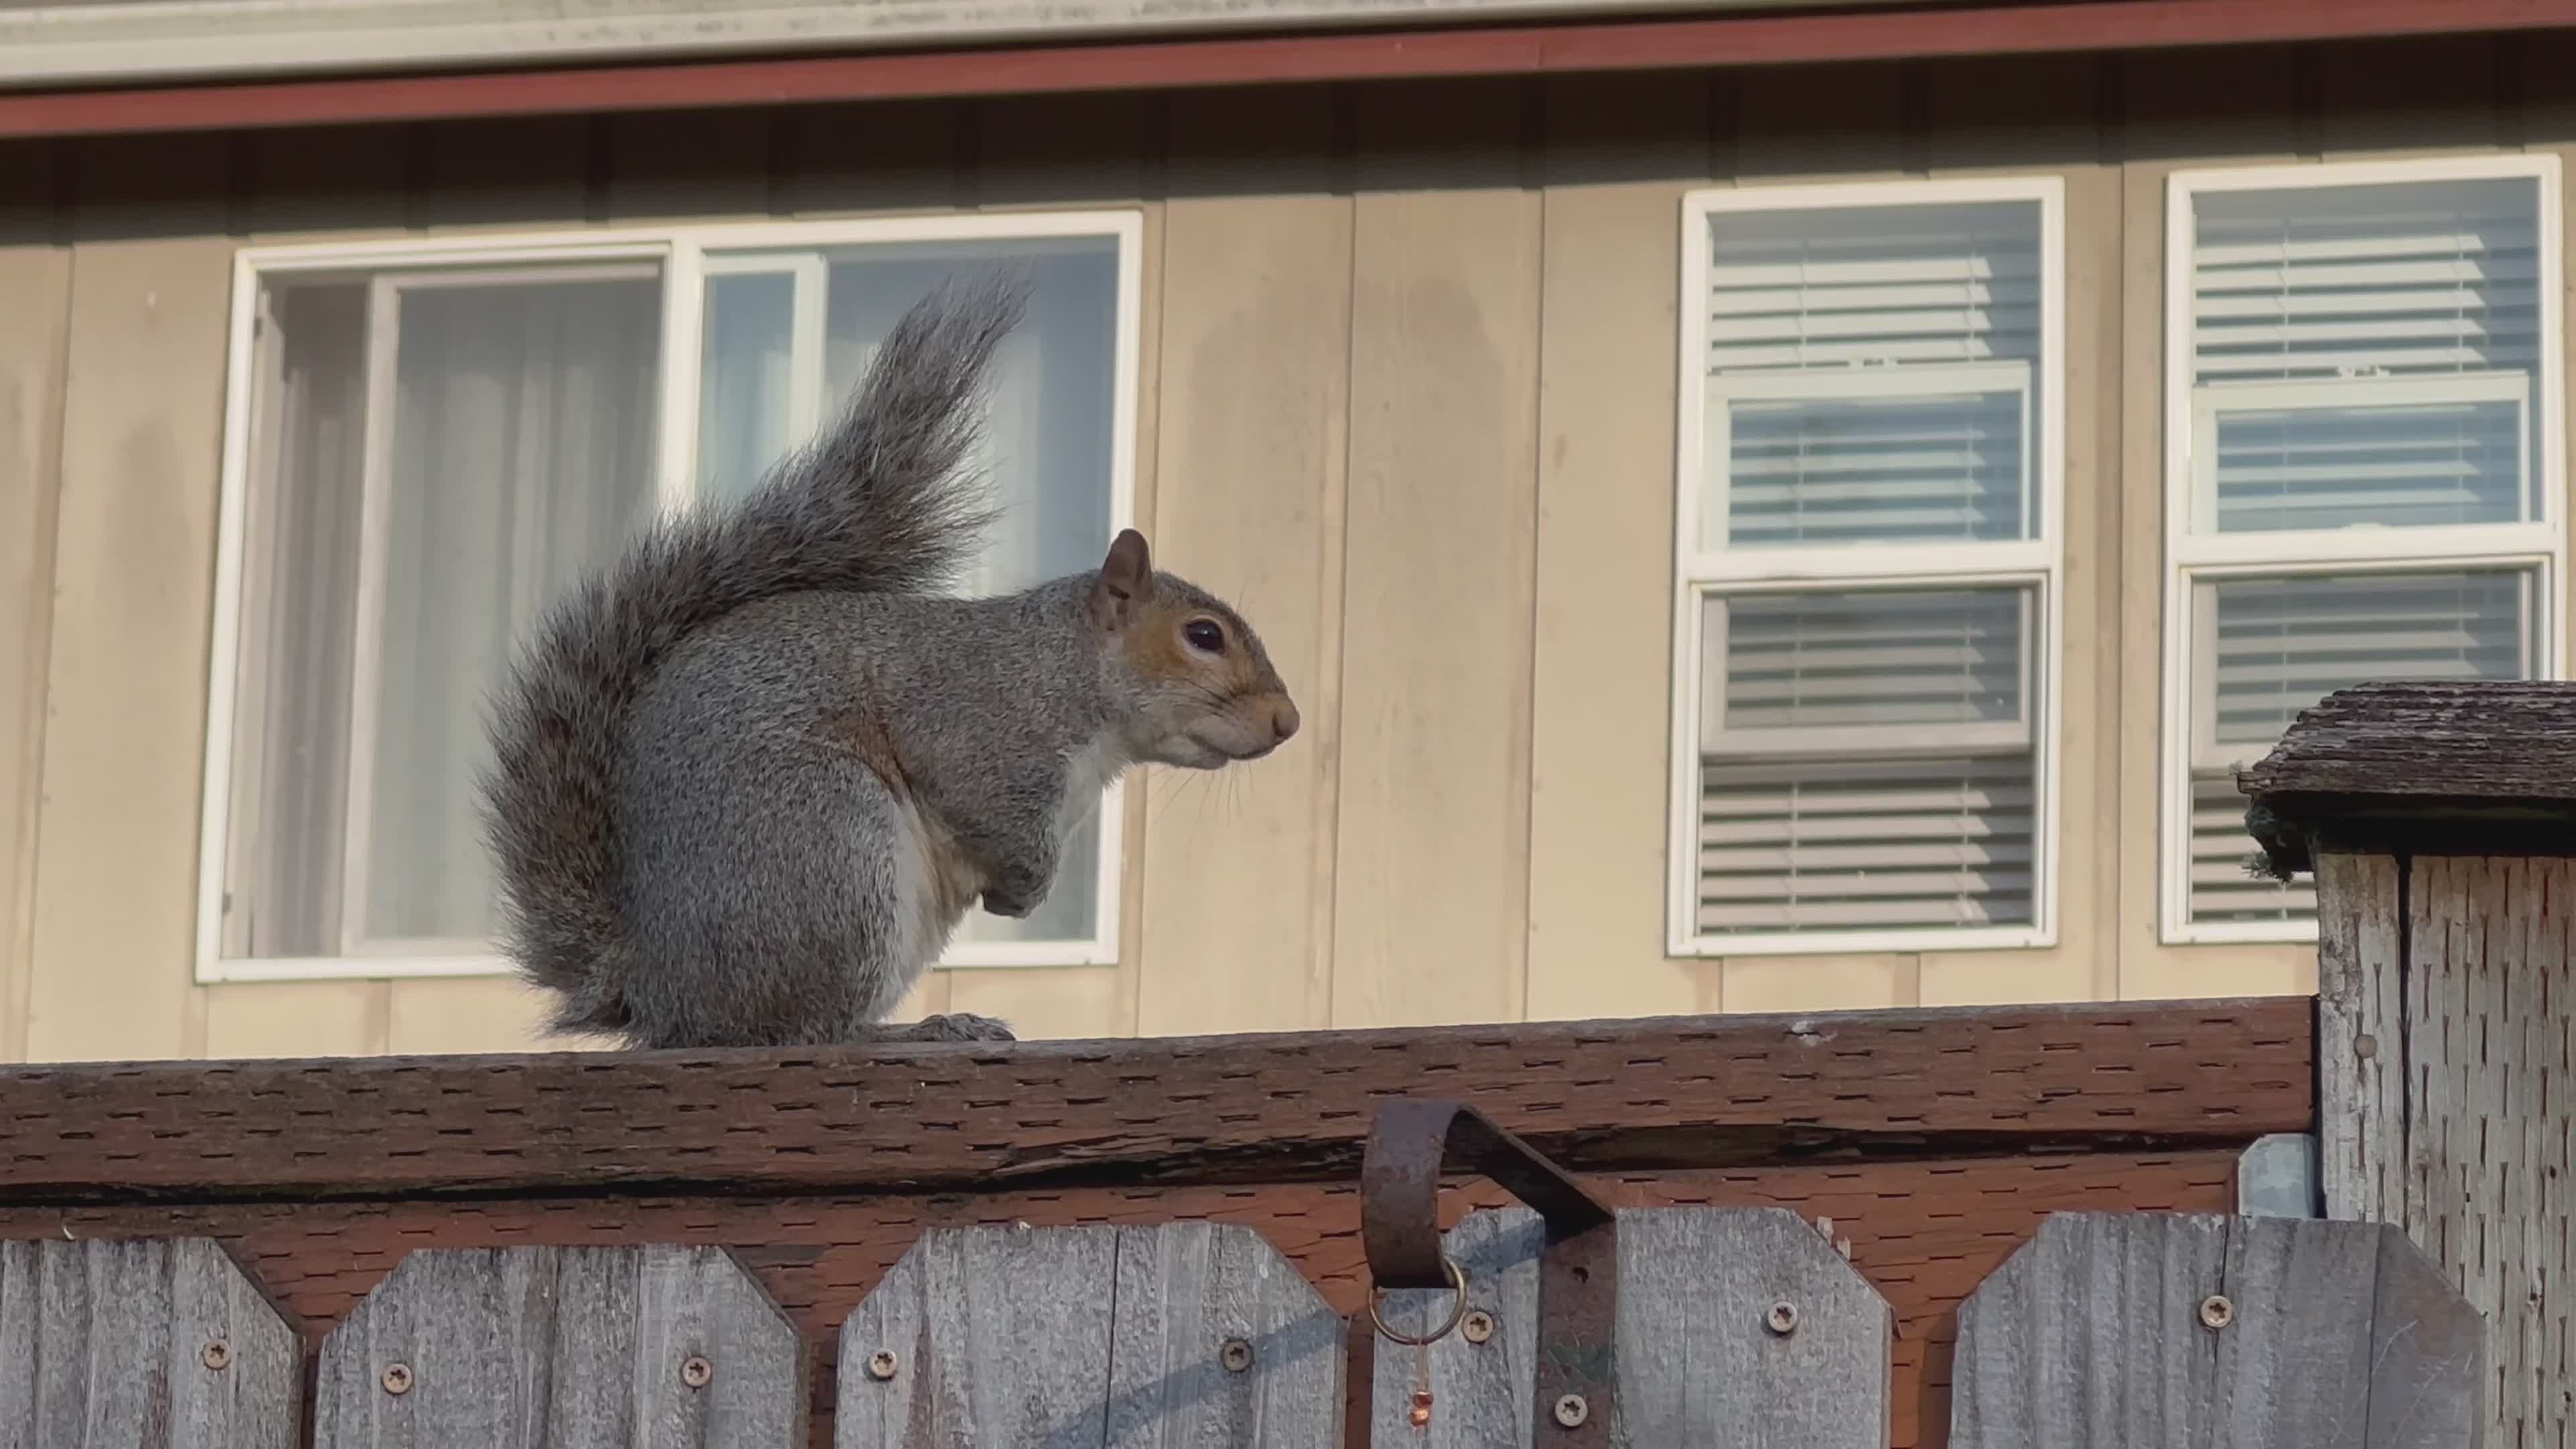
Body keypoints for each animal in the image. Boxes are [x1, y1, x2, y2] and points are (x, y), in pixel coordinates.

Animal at [477, 272, 1300, 1050]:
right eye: (1204, 636)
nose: (1287, 721)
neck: (1068, 673)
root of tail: (660, 993)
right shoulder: (981, 731)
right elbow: (989, 813)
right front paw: (1023, 889)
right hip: (831, 845)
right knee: (807, 1029)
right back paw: (924, 1028)